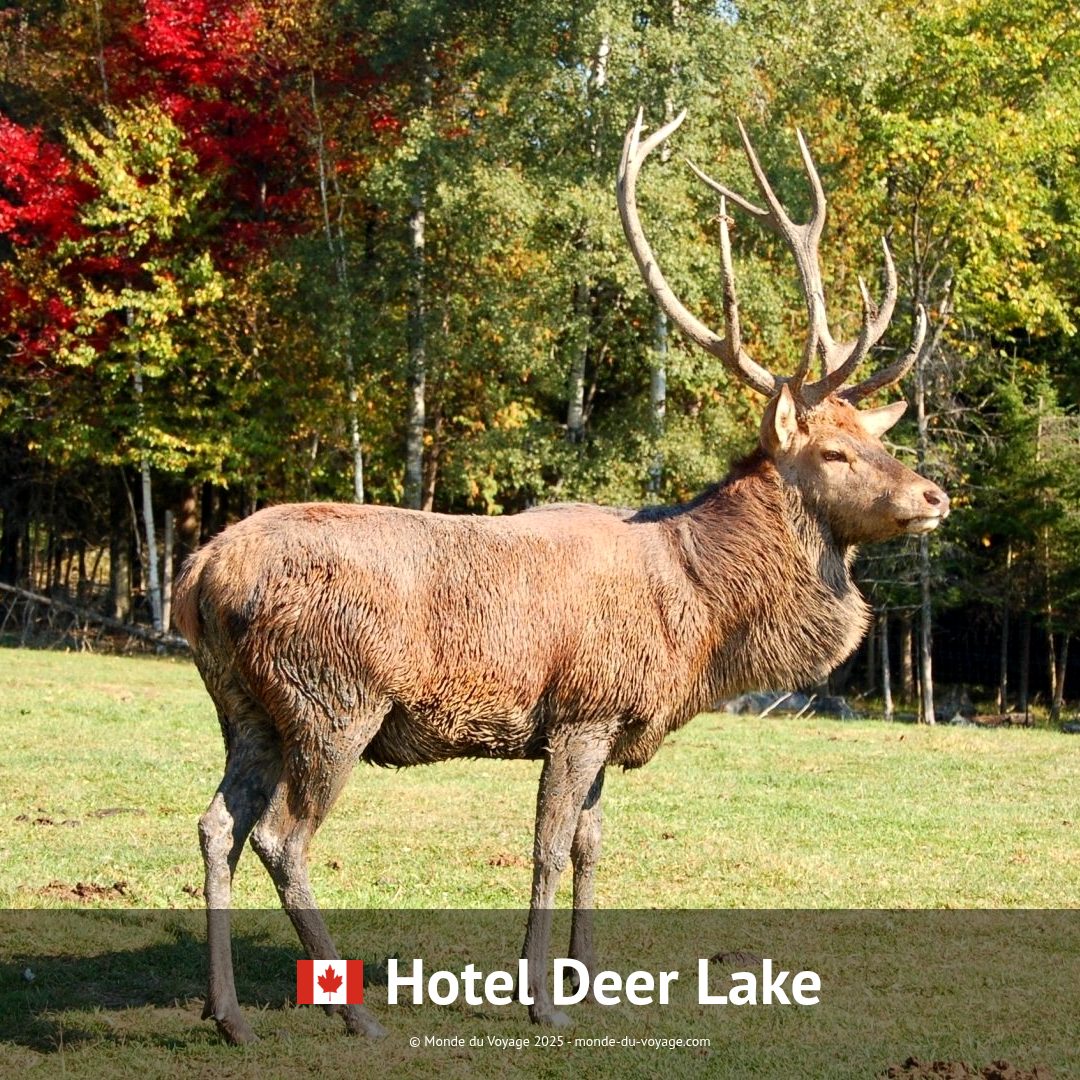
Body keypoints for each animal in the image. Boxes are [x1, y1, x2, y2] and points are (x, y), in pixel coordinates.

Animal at [173, 109, 949, 1044]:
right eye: (834, 452)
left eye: (875, 437)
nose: (934, 494)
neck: (697, 615)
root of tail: (198, 574)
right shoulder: (583, 710)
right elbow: (545, 846)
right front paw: (542, 998)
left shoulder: (615, 719)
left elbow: (590, 843)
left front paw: (588, 980)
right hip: (333, 697)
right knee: (281, 836)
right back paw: (354, 1012)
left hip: (245, 705)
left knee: (217, 823)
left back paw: (227, 1013)